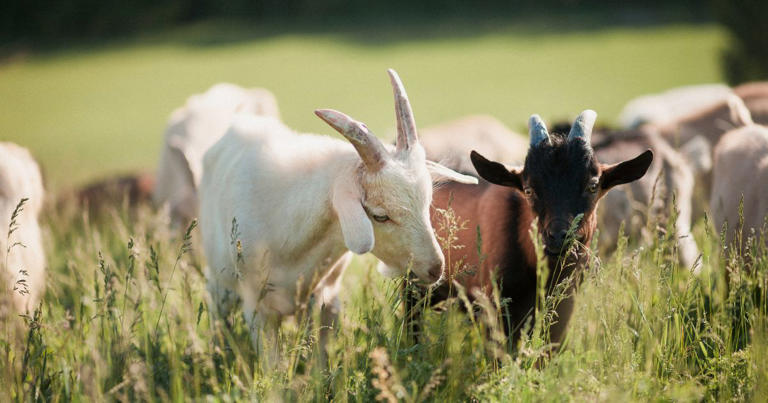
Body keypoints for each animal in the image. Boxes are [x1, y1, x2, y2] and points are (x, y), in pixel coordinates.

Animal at [199, 69, 476, 365]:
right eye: (380, 216)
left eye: (427, 204)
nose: (435, 268)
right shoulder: (258, 309)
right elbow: (274, 368)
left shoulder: (327, 301)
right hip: (219, 284)